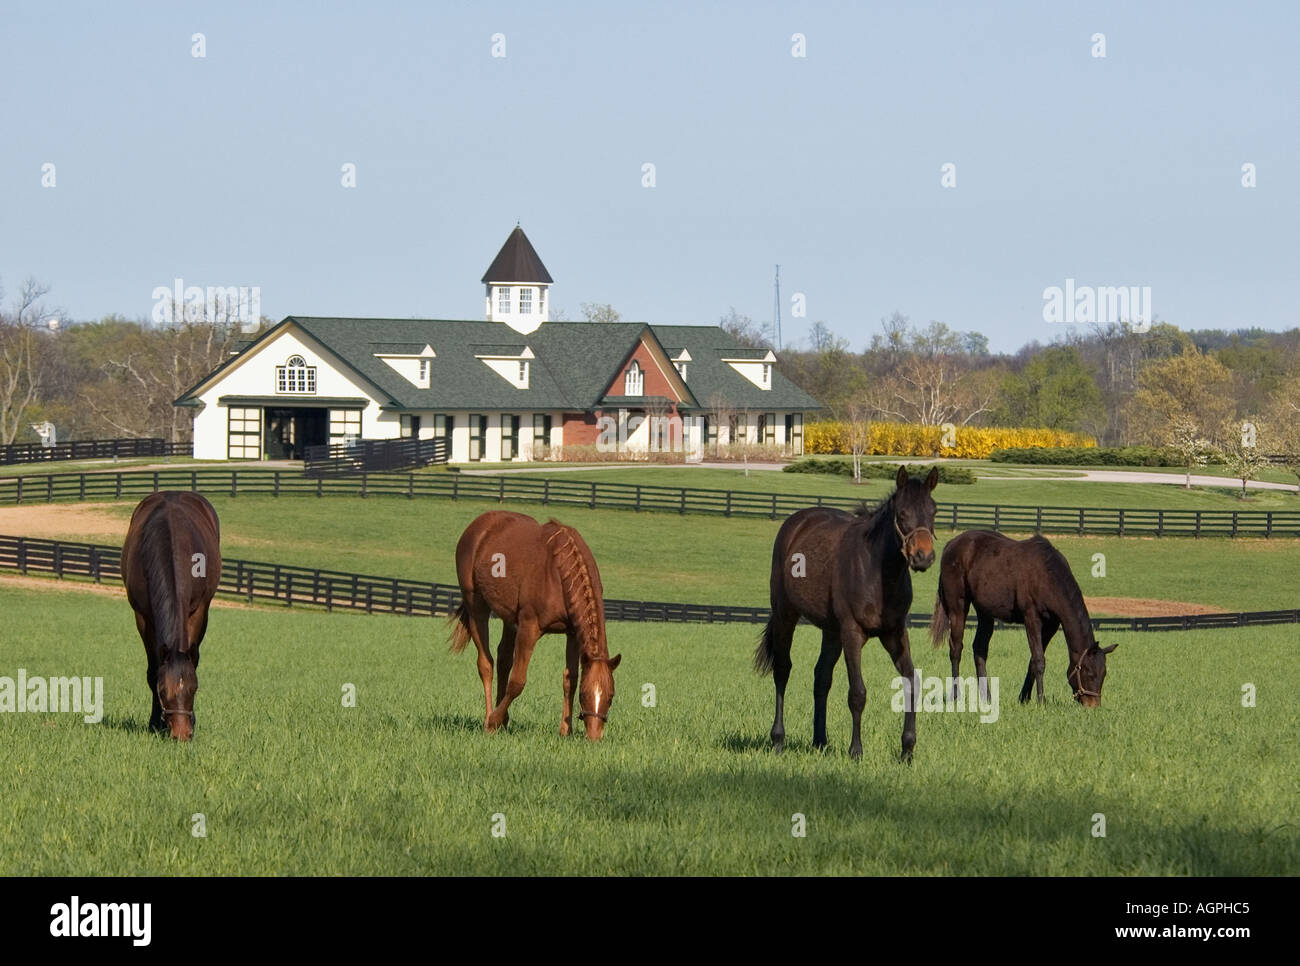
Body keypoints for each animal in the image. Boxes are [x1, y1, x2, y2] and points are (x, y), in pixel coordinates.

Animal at [120, 491, 222, 741]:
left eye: (194, 688)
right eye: (163, 690)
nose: (182, 734)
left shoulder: (198, 611)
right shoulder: (142, 616)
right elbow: (152, 670)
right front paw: (154, 723)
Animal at [449, 511, 622, 739]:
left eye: (610, 696)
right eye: (585, 695)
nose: (594, 737)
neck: (560, 573)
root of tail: (479, 524)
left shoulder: (572, 634)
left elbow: (570, 679)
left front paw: (566, 730)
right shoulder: (528, 628)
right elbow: (517, 681)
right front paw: (493, 721)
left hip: (509, 619)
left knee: (504, 660)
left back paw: (503, 720)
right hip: (477, 607)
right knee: (486, 664)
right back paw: (490, 719)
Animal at [755, 466, 939, 761]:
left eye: (933, 511)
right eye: (902, 513)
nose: (923, 557)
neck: (877, 572)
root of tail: (796, 522)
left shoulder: (895, 634)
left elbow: (911, 682)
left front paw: (907, 749)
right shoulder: (853, 633)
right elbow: (857, 692)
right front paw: (856, 751)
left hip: (831, 631)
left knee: (821, 677)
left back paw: (820, 741)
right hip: (786, 616)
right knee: (782, 670)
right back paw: (778, 740)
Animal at [928, 530, 1117, 707]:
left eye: (1104, 674)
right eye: (1089, 673)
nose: (1093, 705)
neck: (1047, 574)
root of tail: (951, 545)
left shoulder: (1051, 625)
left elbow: (1033, 661)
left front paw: (1024, 698)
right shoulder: (1032, 619)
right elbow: (1039, 660)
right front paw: (1041, 701)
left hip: (985, 612)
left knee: (980, 649)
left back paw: (987, 698)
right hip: (958, 608)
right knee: (956, 649)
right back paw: (956, 696)